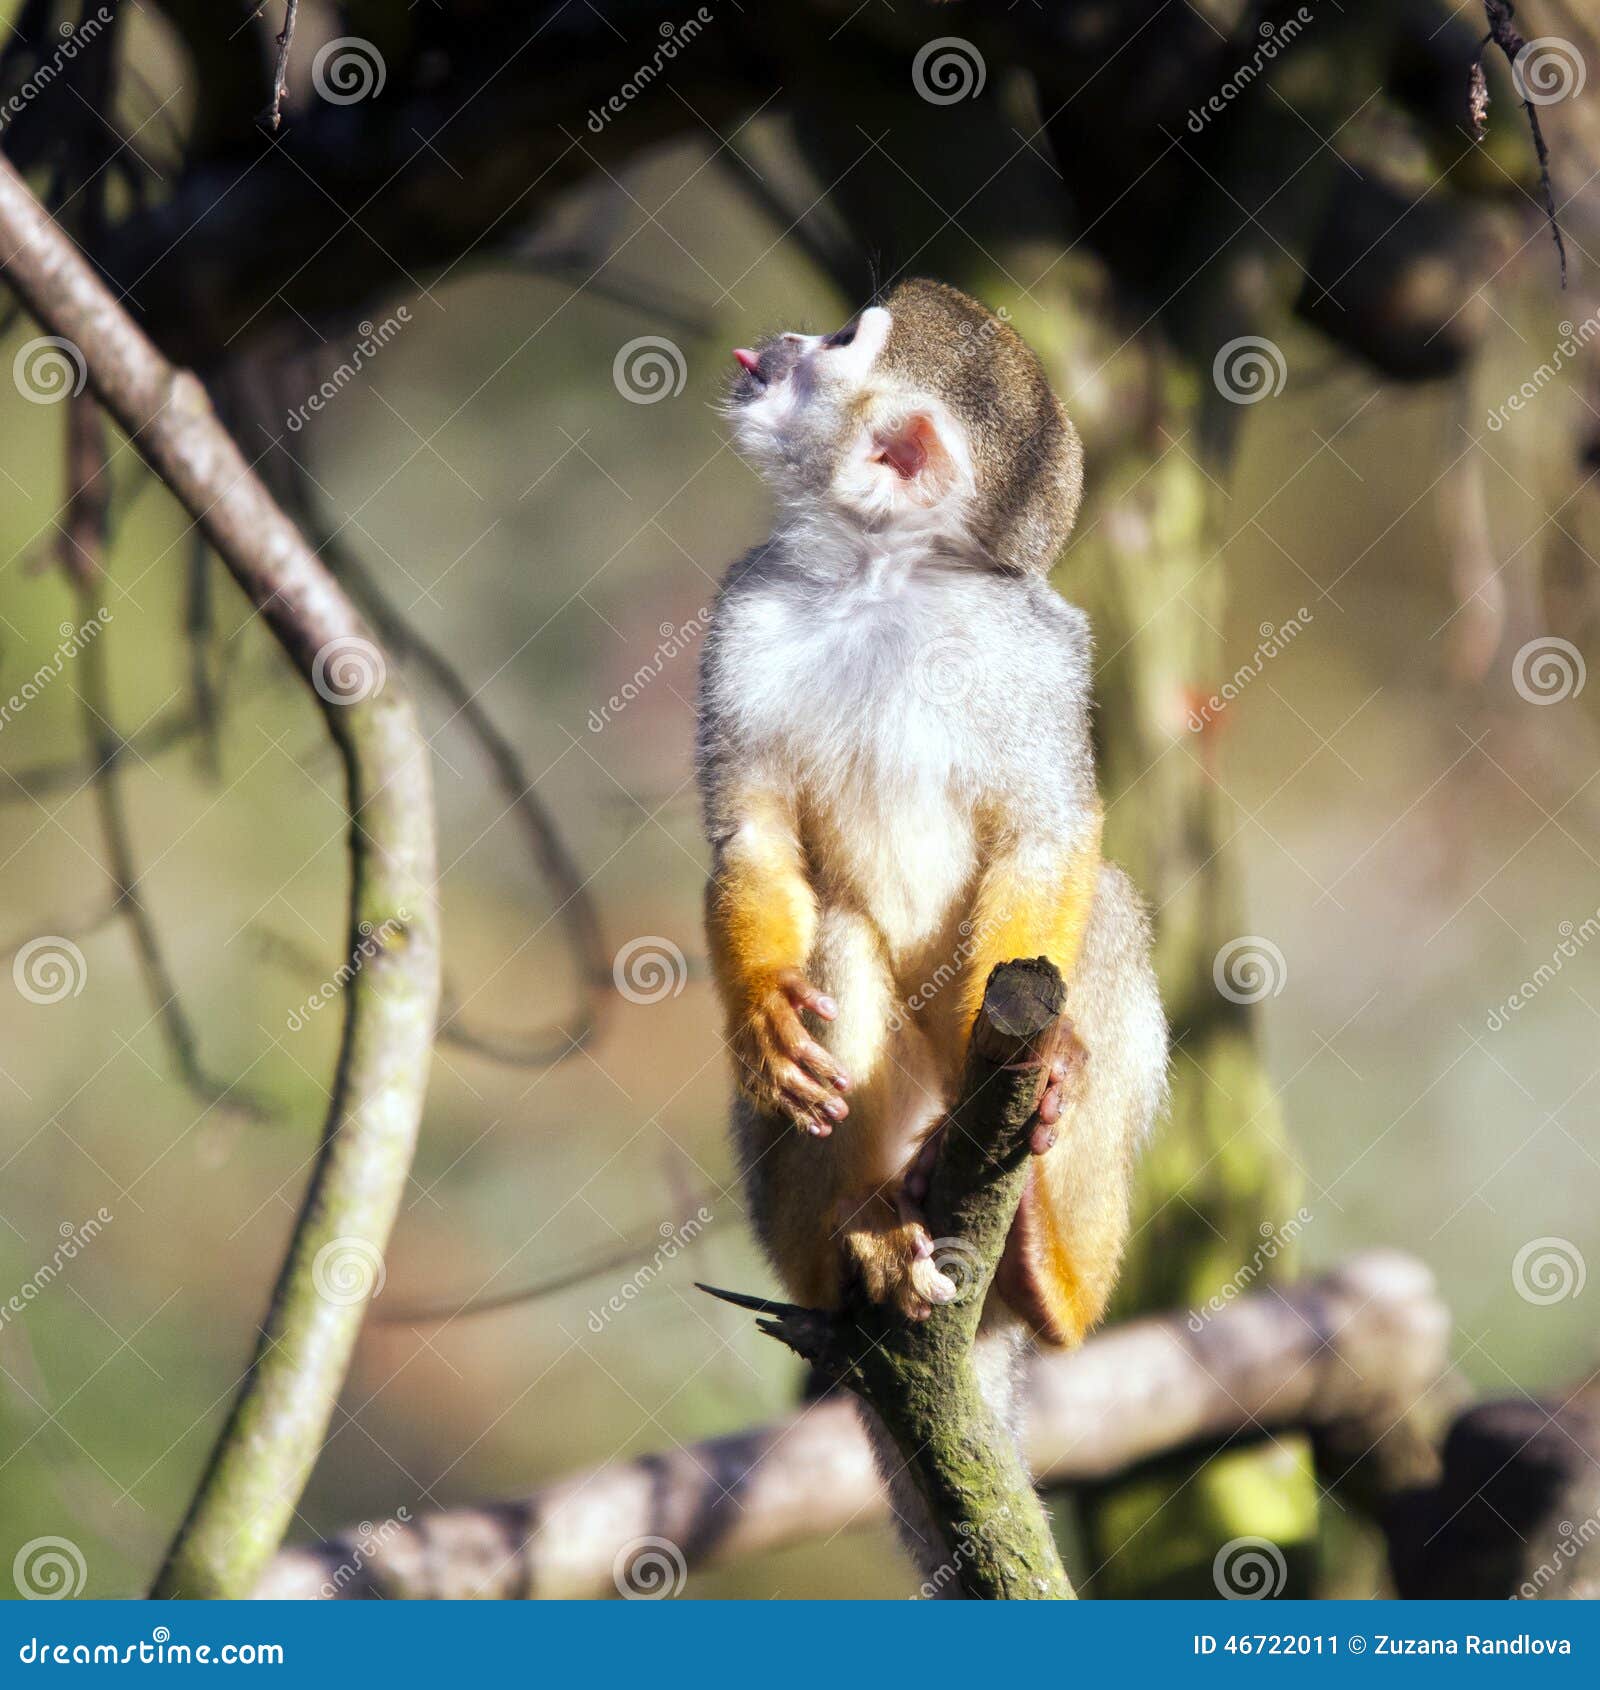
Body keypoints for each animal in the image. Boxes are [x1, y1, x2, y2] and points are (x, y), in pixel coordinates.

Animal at [695, 278, 1168, 1578]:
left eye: (842, 341)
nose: (783, 343)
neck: (885, 577)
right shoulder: (744, 606)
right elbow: (749, 837)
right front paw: (764, 1012)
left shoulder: (1041, 654)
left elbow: (1053, 835)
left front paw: (1050, 1067)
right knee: (844, 937)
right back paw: (862, 1239)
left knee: (1112, 914)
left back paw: (1050, 1269)